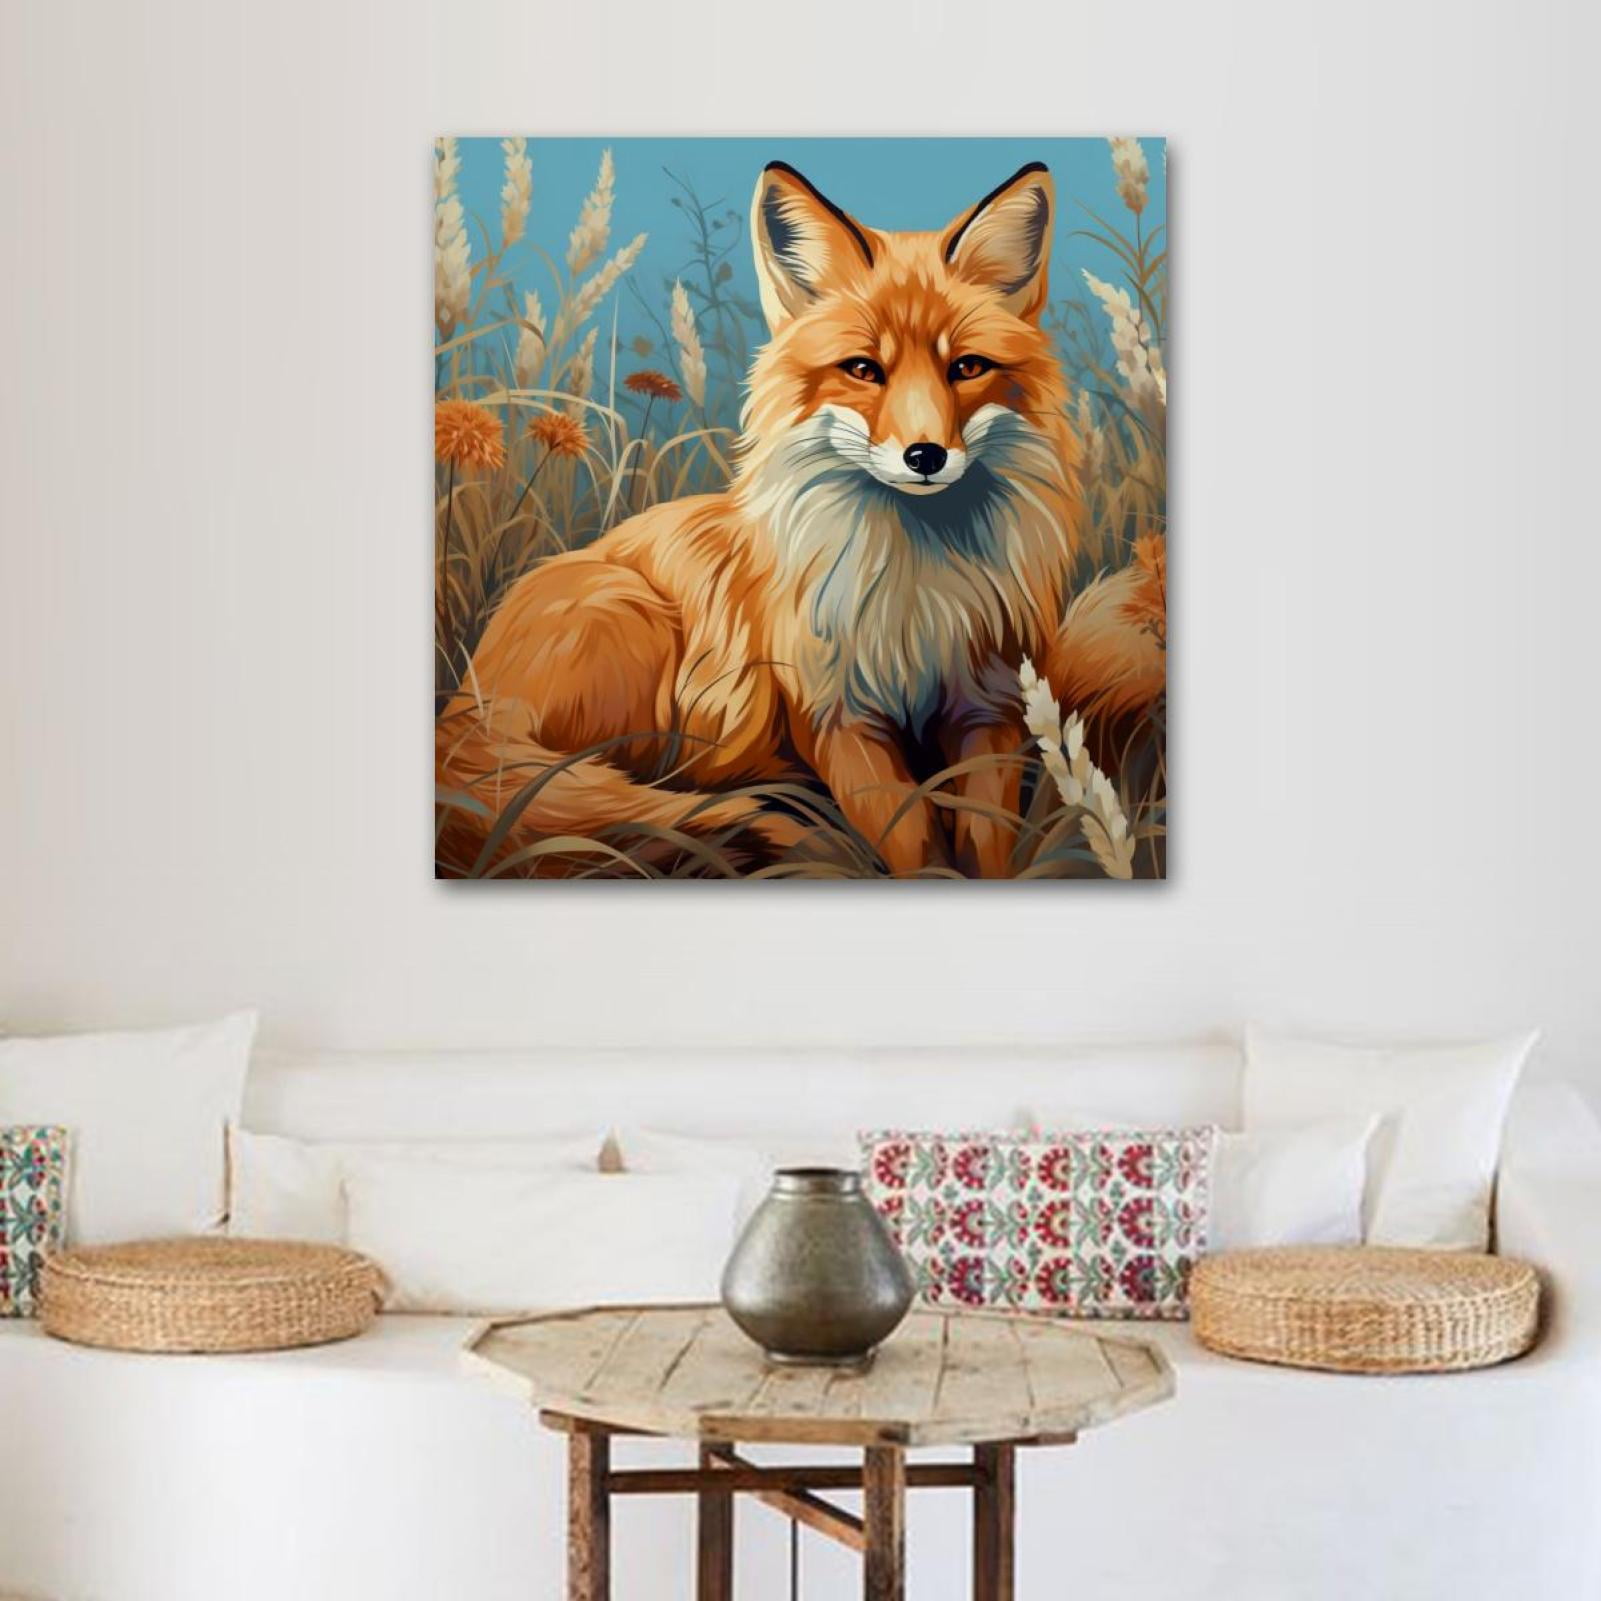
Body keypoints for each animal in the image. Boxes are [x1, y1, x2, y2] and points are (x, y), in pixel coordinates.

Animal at [436, 160, 1163, 877]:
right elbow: (908, 842)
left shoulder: (990, 705)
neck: (917, 592)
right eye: (863, 369)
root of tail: (463, 706)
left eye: (967, 367)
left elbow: (986, 838)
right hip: (635, 624)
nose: (925, 455)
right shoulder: (834, 714)